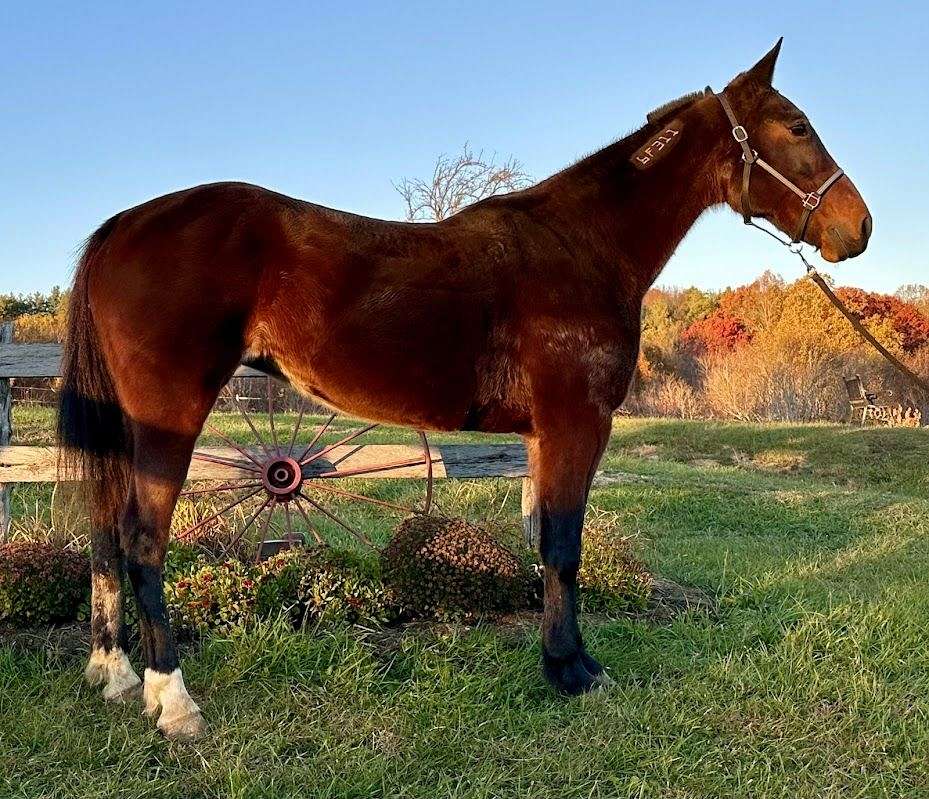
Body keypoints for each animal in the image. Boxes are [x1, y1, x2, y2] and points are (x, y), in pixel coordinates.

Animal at [59, 40, 870, 739]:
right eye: (797, 126)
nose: (857, 227)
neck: (583, 246)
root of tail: (124, 225)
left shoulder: (544, 435)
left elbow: (543, 542)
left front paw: (564, 659)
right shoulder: (577, 422)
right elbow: (565, 545)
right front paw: (573, 672)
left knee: (103, 531)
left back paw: (115, 673)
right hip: (170, 418)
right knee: (142, 541)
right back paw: (173, 700)